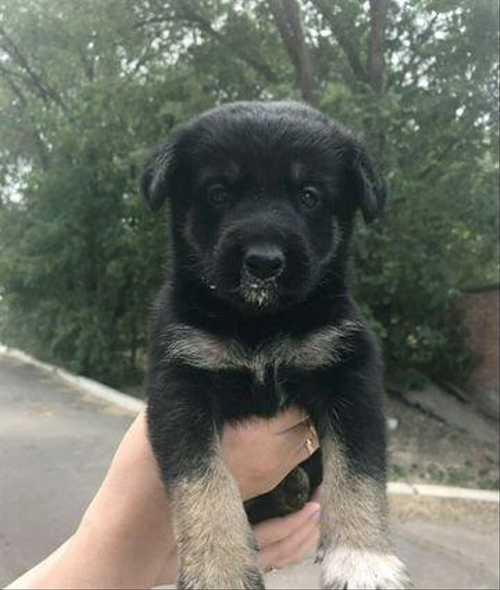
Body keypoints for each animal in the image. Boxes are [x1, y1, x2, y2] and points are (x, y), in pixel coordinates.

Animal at [141, 103, 410, 590]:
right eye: (218, 192)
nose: (263, 263)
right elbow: (203, 483)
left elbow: (359, 469)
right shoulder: (181, 383)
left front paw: (362, 558)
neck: (260, 324)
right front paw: (220, 570)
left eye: (309, 195)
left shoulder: (349, 375)